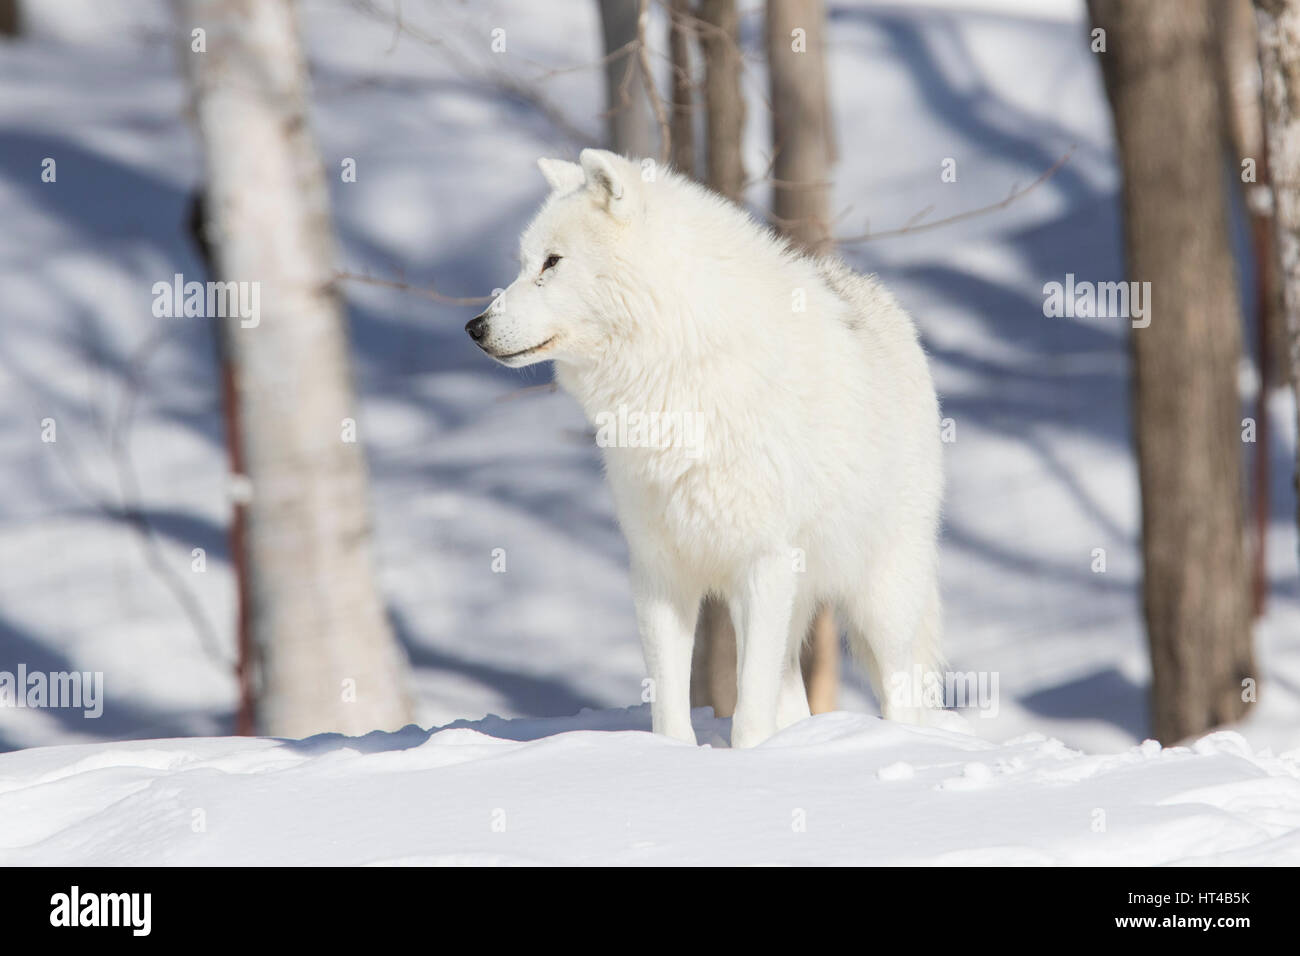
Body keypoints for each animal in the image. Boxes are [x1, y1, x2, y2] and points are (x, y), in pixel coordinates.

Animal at [466, 149, 945, 748]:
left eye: (552, 263)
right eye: (525, 262)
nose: (474, 327)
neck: (676, 376)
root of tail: (881, 300)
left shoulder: (763, 563)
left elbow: (748, 712)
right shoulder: (658, 571)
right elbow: (671, 709)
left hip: (881, 594)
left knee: (902, 693)